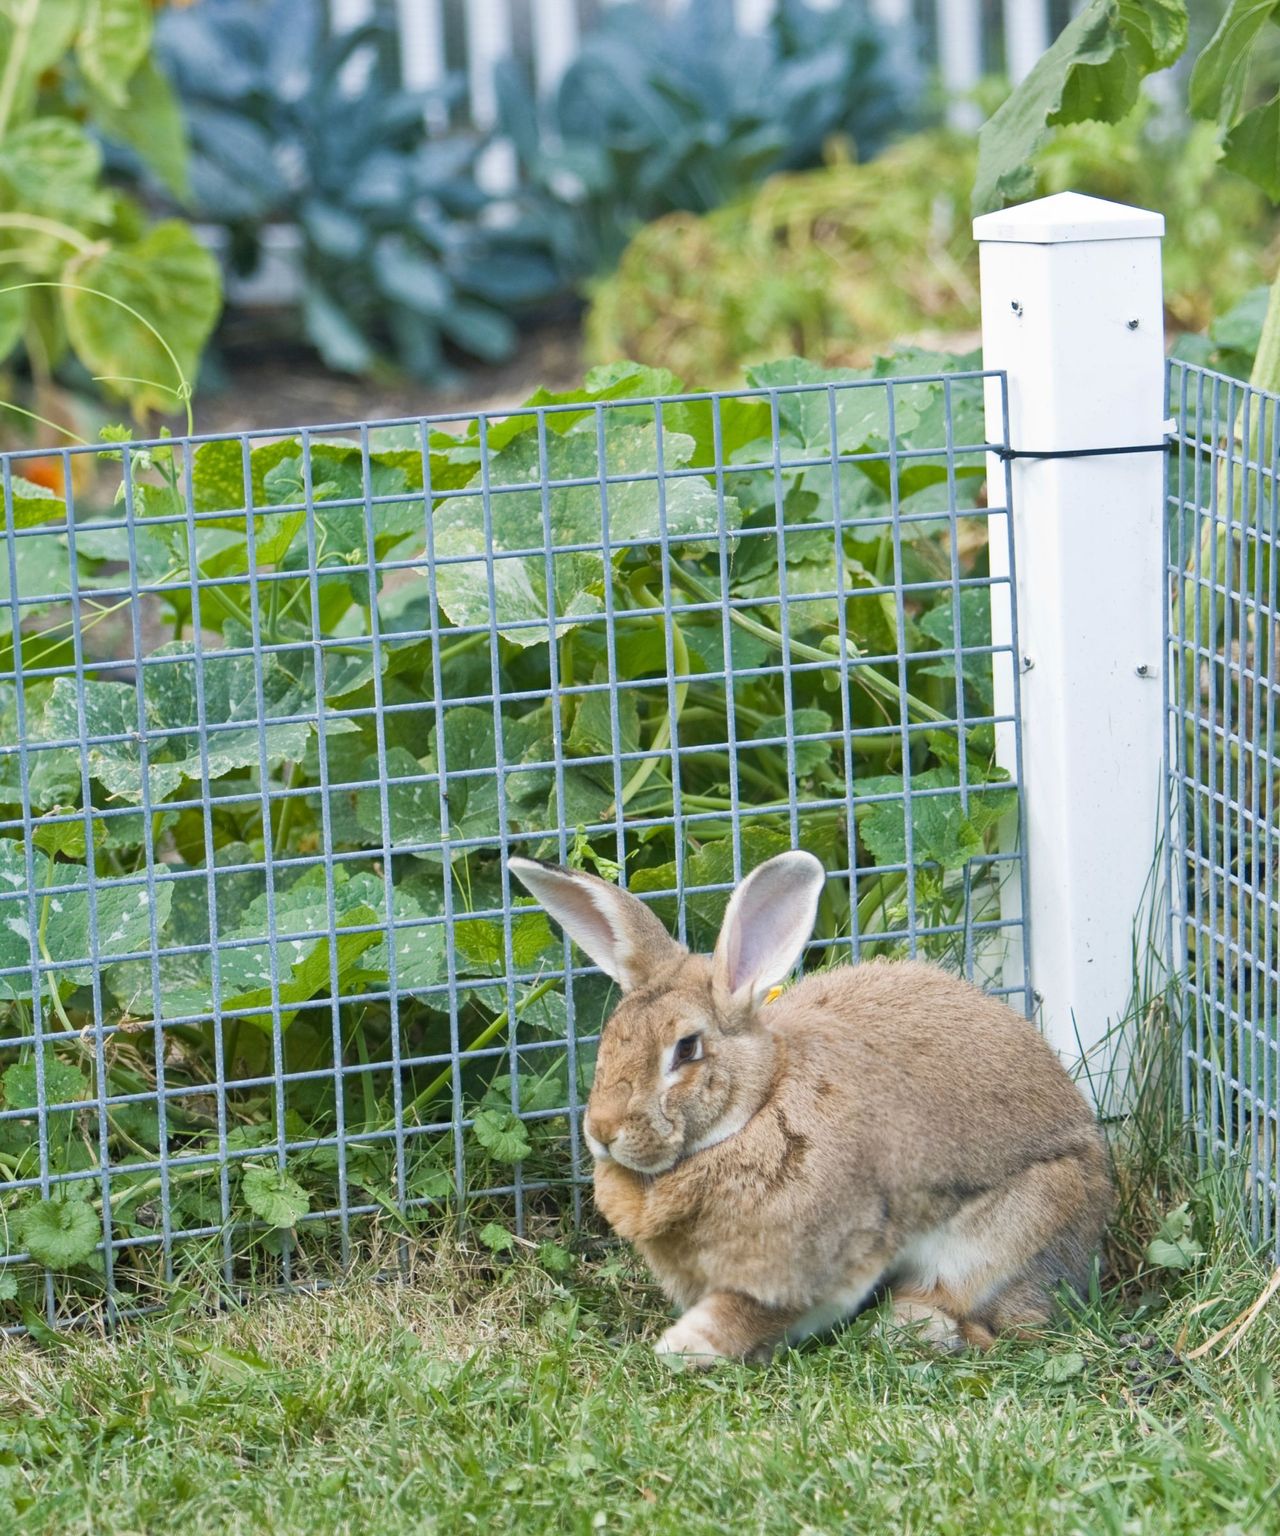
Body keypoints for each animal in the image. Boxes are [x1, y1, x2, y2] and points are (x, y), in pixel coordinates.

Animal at [508, 849, 1112, 1366]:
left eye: (686, 1049)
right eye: (611, 1036)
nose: (603, 1131)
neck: (755, 1110)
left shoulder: (809, 1263)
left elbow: (748, 1313)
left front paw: (683, 1347)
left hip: (1008, 1230)